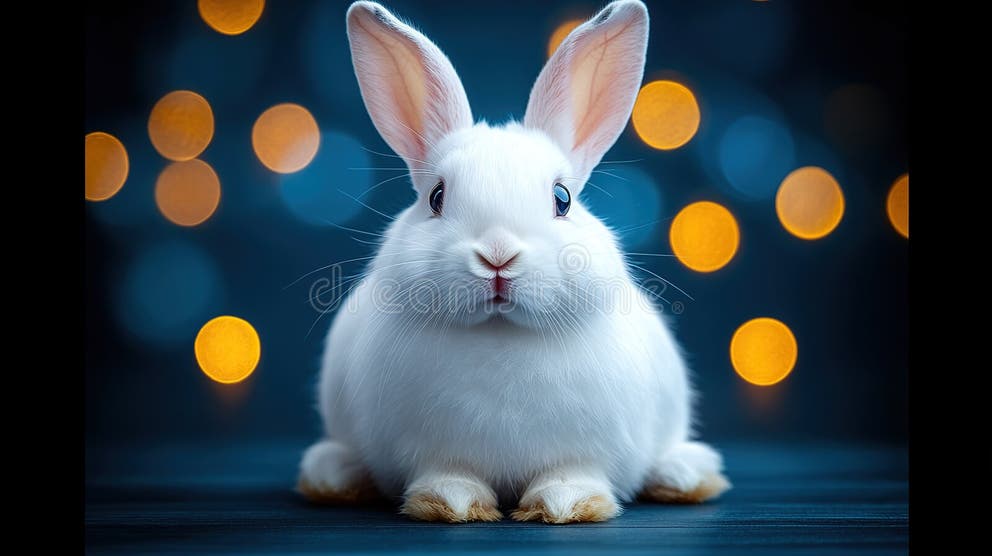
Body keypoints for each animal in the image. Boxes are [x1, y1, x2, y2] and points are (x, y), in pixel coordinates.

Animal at [297, 0, 730, 523]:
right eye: (436, 197)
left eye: (562, 199)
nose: (498, 256)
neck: (500, 332)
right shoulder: (435, 449)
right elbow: (449, 474)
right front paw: (451, 503)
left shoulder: (585, 449)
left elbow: (571, 475)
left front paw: (567, 505)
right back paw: (332, 475)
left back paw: (686, 475)